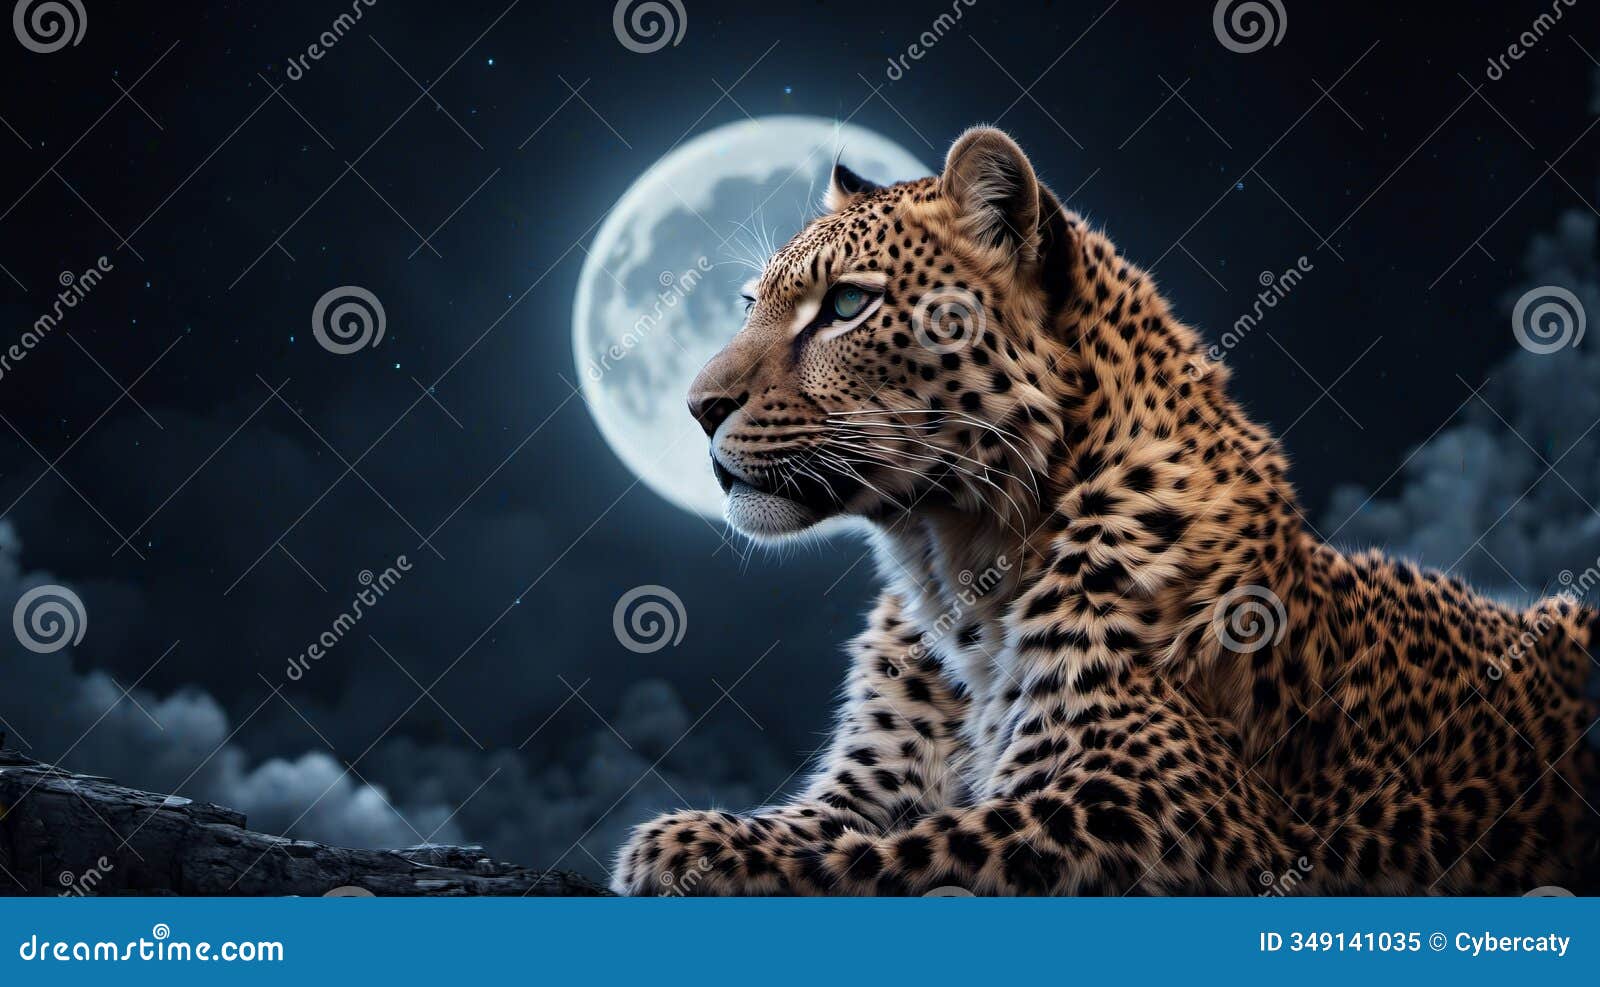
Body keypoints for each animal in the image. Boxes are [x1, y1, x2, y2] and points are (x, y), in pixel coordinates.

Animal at [612, 126, 1599, 896]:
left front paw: (695, 851)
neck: (951, 562)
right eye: (751, 304)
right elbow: (830, 822)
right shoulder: (871, 784)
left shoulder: (1158, 808)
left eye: (848, 304)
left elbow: (911, 853)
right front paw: (710, 834)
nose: (696, 407)